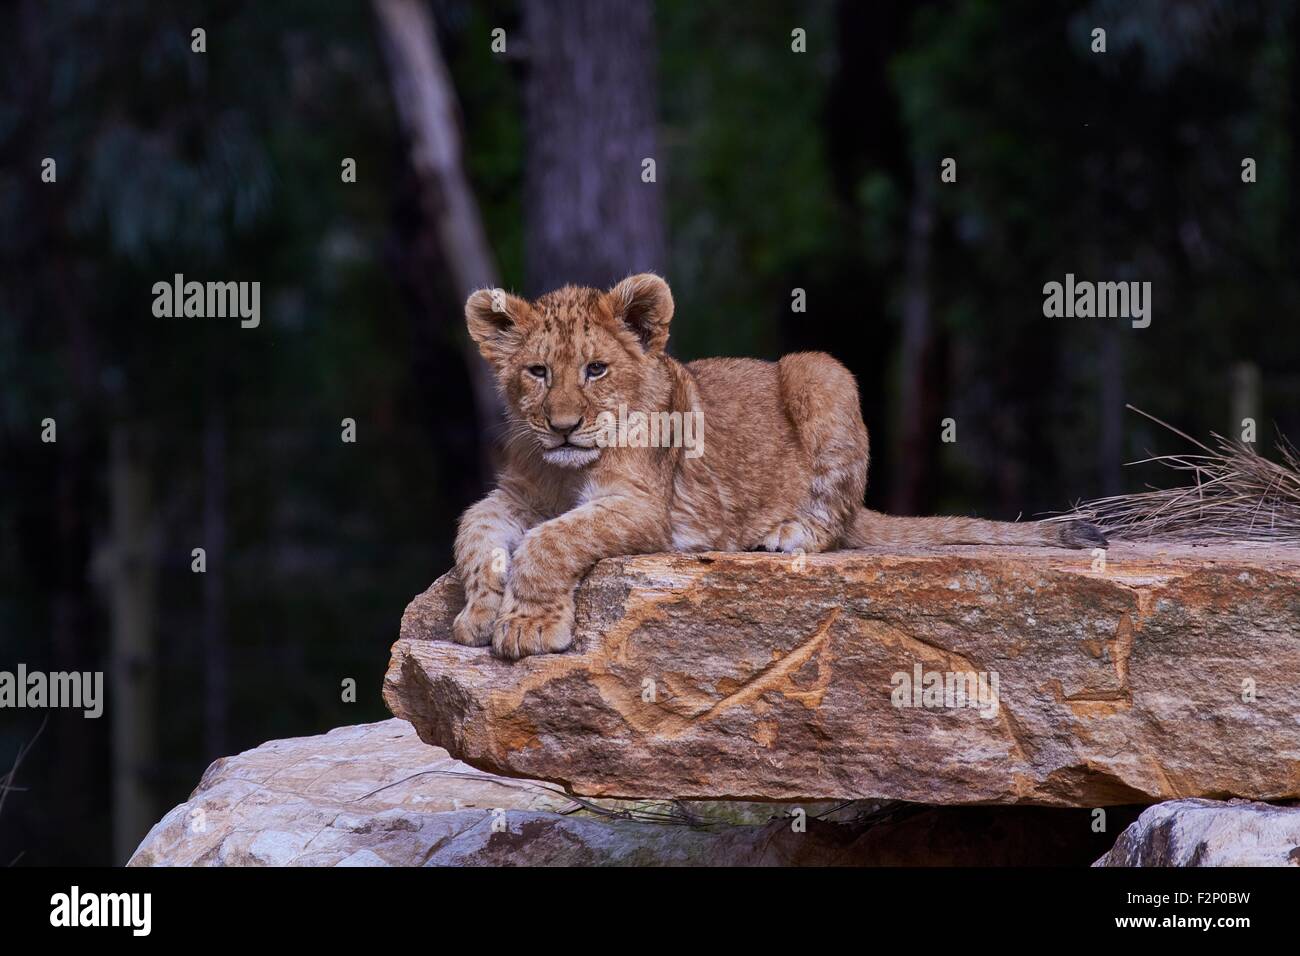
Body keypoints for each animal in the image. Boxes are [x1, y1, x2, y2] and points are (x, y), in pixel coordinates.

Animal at [453, 273, 1106, 659]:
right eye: (538, 372)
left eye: (596, 369)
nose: (562, 426)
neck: (564, 467)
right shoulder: (517, 494)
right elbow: (474, 531)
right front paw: (478, 614)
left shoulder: (646, 510)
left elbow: (551, 541)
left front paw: (527, 626)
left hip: (821, 371)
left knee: (835, 519)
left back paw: (785, 535)